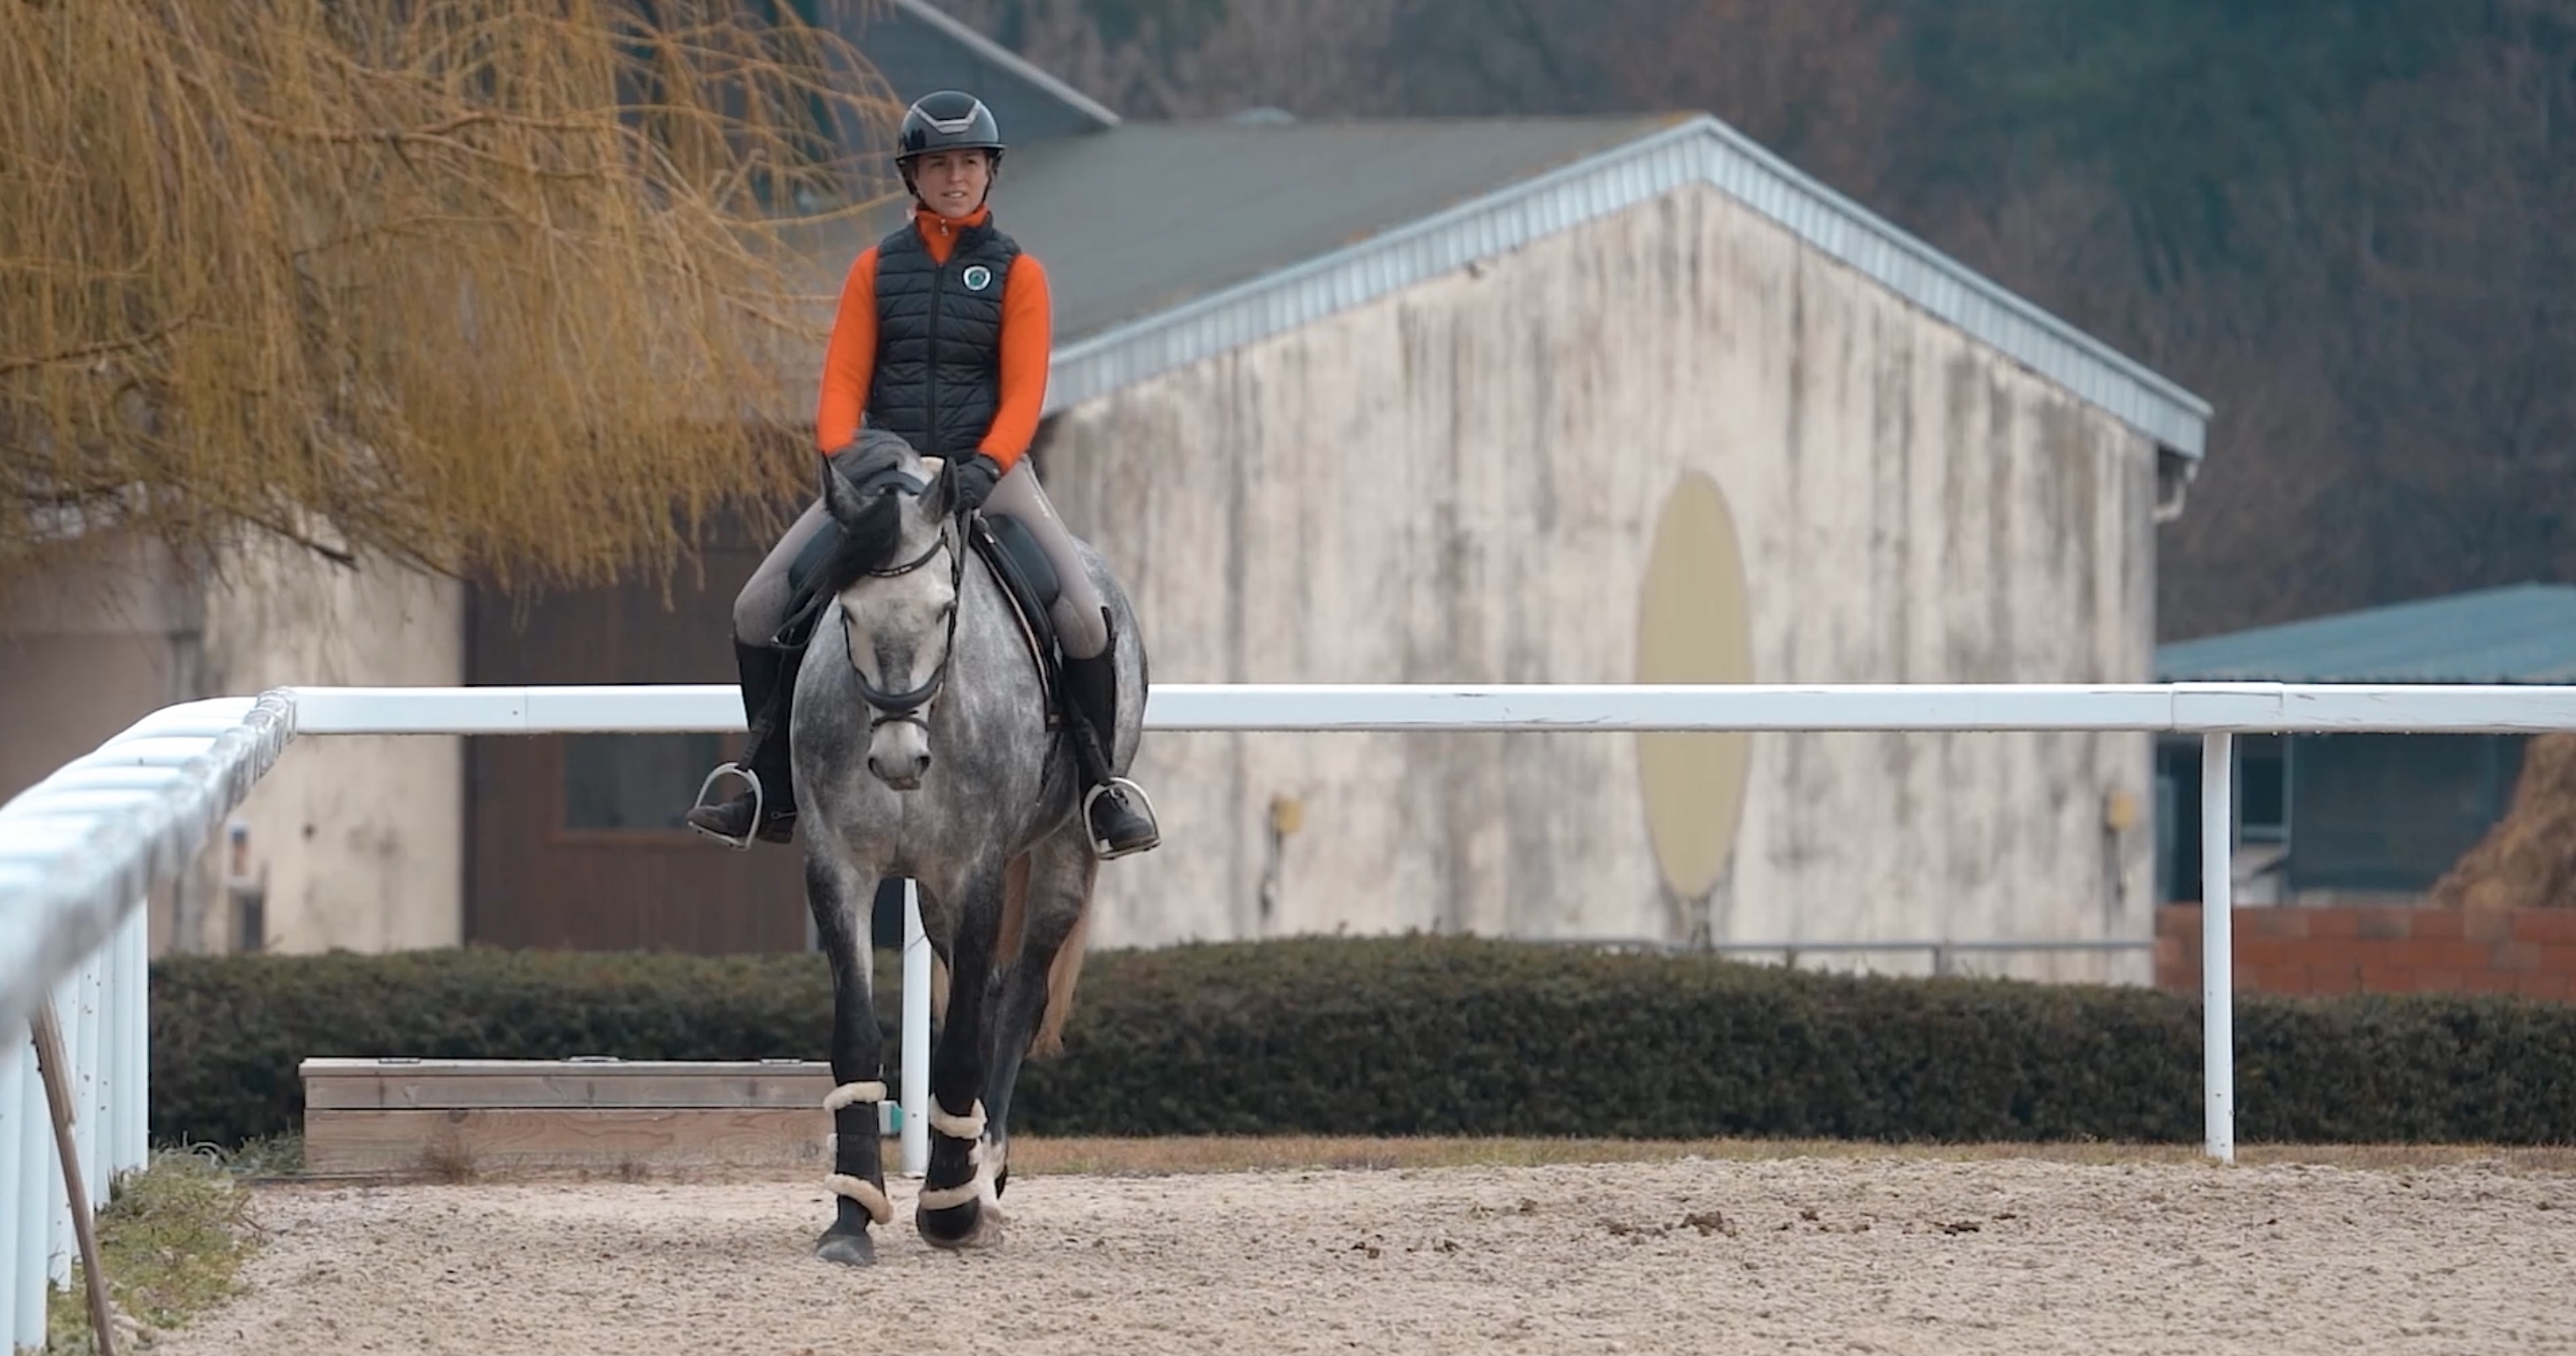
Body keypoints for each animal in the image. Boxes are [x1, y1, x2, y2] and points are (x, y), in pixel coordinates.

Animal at [786, 428, 1145, 1265]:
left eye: (945, 610)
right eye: (846, 611)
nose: (897, 761)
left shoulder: (975, 870)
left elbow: (963, 1041)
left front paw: (949, 1208)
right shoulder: (838, 868)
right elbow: (857, 1034)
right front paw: (851, 1217)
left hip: (1062, 855)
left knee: (1018, 995)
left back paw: (984, 1171)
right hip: (935, 898)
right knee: (982, 989)